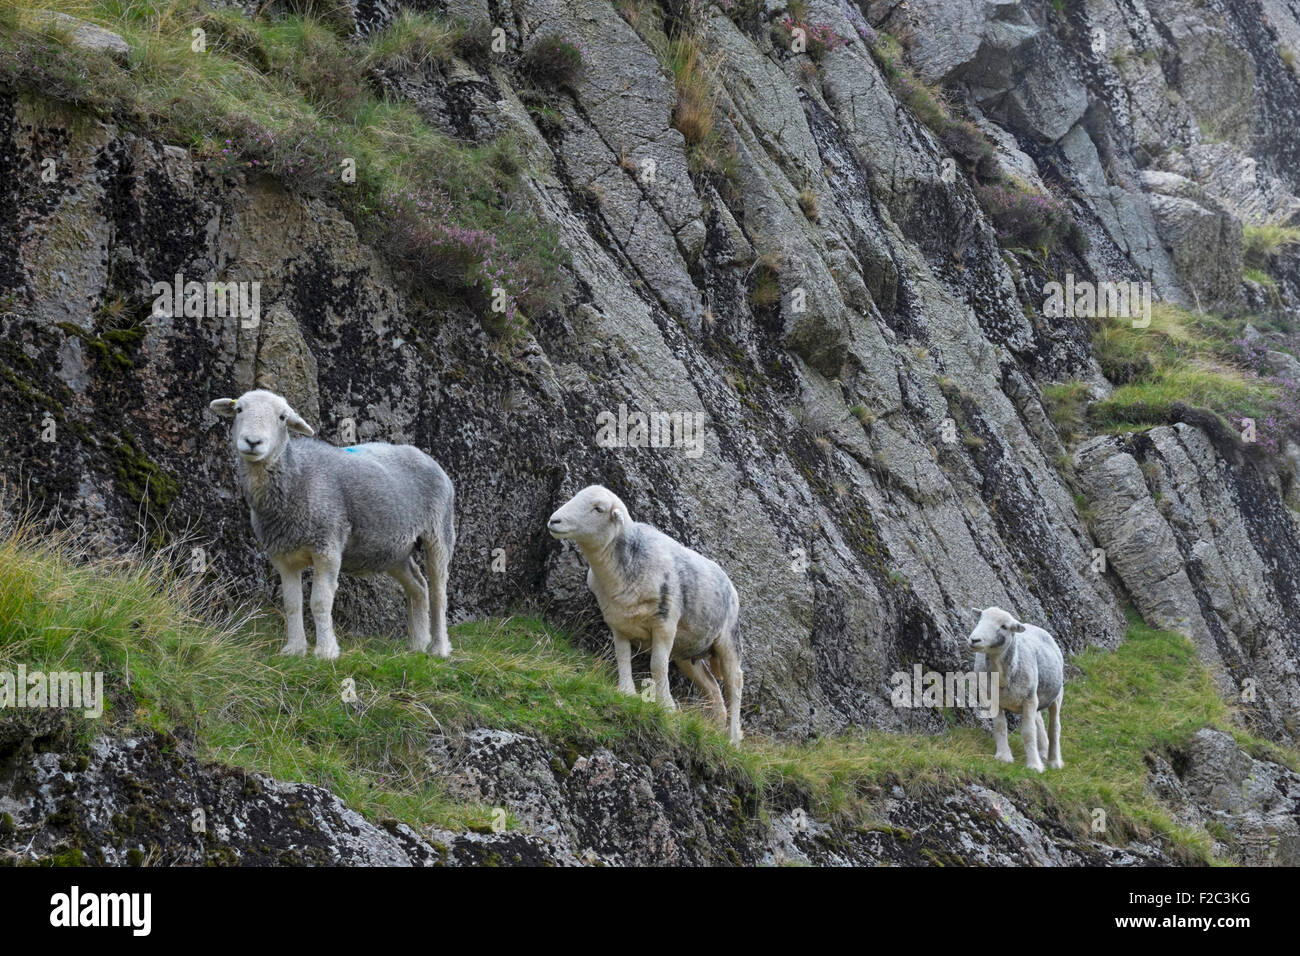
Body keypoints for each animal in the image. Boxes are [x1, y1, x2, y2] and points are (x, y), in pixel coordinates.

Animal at [208, 389, 455, 660]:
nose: (253, 442)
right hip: (394, 550)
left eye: (283, 417)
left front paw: (326, 651)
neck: (297, 479)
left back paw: (440, 648)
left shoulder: (327, 547)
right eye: (239, 409)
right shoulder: (282, 555)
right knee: (419, 587)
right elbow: (292, 603)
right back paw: (418, 645)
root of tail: (422, 454)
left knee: (439, 593)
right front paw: (294, 649)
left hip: (439, 531)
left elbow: (320, 601)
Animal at [547, 485, 744, 744]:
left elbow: (657, 665)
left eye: (598, 508)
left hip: (728, 638)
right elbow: (622, 657)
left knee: (734, 684)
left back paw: (733, 738)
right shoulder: (617, 623)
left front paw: (666, 707)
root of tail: (728, 582)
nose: (554, 521)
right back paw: (717, 733)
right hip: (688, 652)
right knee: (712, 688)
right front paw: (626, 692)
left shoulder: (665, 624)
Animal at [967, 606, 1064, 772]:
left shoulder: (1028, 699)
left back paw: (1053, 761)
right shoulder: (992, 699)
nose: (974, 640)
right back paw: (1043, 752)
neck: (1002, 675)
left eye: (1004, 626)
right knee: (1039, 721)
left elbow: (1028, 732)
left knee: (1055, 727)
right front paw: (1003, 756)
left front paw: (1034, 765)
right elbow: (1000, 726)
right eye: (980, 619)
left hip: (1056, 695)